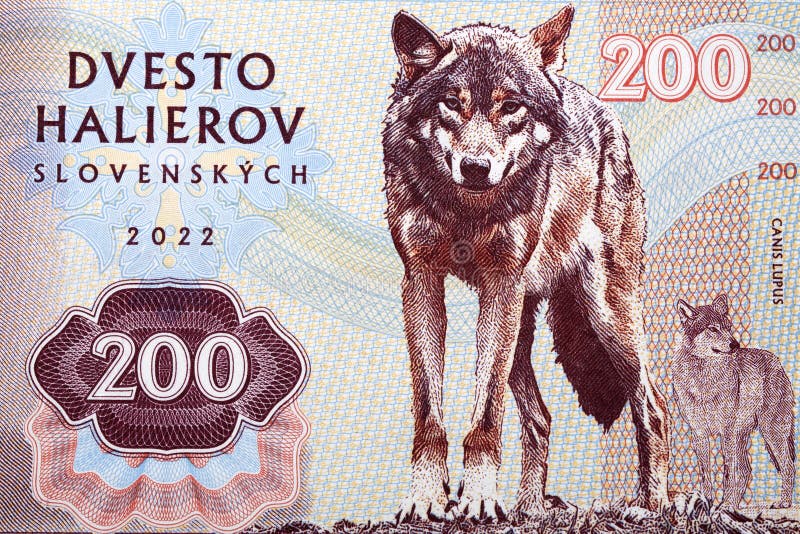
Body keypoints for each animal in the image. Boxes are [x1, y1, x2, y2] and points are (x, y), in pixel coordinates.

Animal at [383, 4, 670, 522]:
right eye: (451, 104)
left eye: (511, 106)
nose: (476, 167)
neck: (466, 211)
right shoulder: (421, 284)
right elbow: (429, 412)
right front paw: (427, 498)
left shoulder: (501, 285)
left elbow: (485, 414)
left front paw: (477, 498)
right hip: (521, 326)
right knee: (540, 417)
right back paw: (529, 509)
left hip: (602, 315)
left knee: (653, 407)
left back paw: (651, 506)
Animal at [673, 294, 795, 509]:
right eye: (713, 329)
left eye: (728, 327)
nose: (735, 345)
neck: (704, 379)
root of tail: (777, 362)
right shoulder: (699, 433)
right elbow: (705, 474)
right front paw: (707, 505)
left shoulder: (726, 431)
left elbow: (729, 472)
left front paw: (726, 505)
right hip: (744, 434)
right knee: (747, 470)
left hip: (770, 431)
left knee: (788, 466)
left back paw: (783, 503)